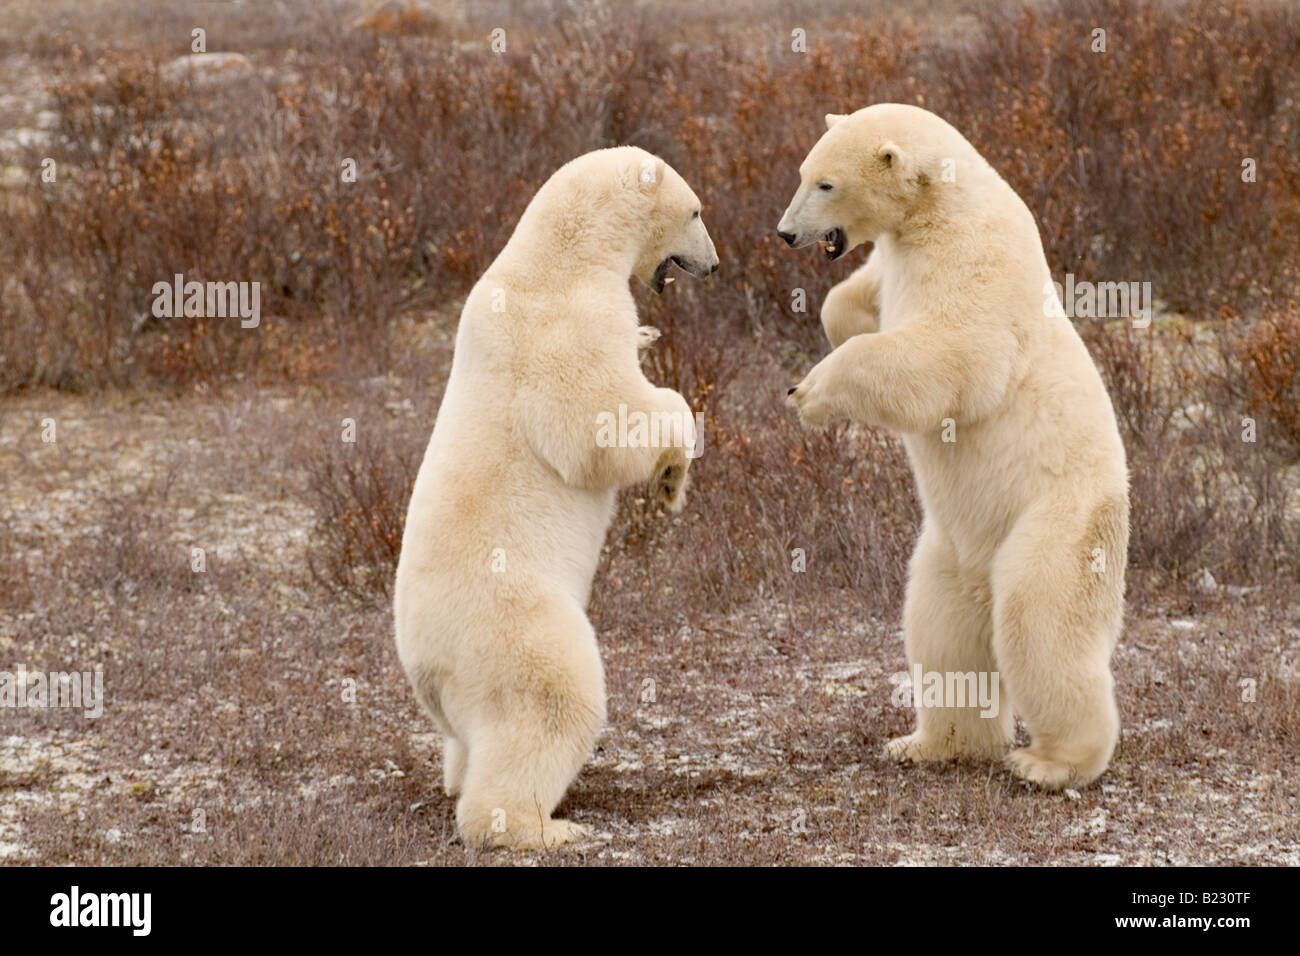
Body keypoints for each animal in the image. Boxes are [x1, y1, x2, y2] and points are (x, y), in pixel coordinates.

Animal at [393, 146, 717, 849]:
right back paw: (542, 826)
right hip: (511, 622)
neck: (559, 255)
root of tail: (426, 670)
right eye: (696, 211)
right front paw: (672, 472)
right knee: (552, 699)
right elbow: (601, 418)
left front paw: (649, 343)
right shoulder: (567, 323)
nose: (714, 263)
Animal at [778, 104, 1130, 789]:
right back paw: (931, 743)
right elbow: (859, 298)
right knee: (940, 631)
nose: (784, 234)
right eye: (803, 172)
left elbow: (950, 353)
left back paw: (1051, 760)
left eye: (826, 183)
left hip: (1058, 520)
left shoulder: (976, 260)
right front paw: (838, 326)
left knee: (1040, 624)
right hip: (947, 551)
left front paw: (811, 390)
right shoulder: (899, 255)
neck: (944, 204)